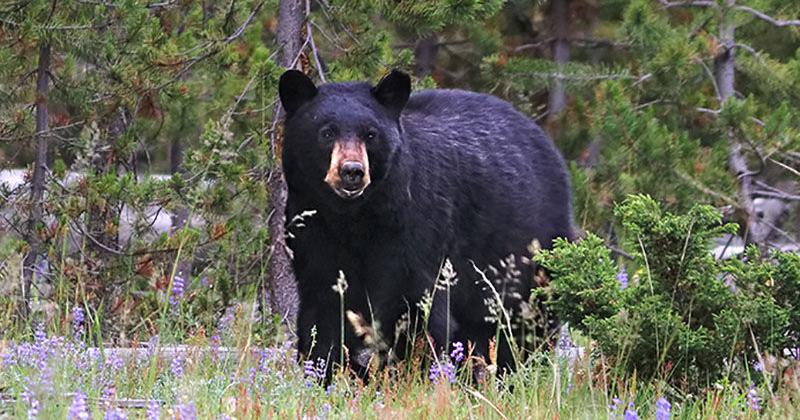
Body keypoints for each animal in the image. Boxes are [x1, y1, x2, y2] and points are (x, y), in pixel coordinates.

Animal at [278, 69, 574, 380]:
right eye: (326, 132)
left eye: (371, 134)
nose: (352, 171)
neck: (355, 218)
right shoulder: (312, 232)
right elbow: (323, 312)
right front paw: (321, 374)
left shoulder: (414, 232)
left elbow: (418, 311)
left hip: (530, 251)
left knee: (527, 326)